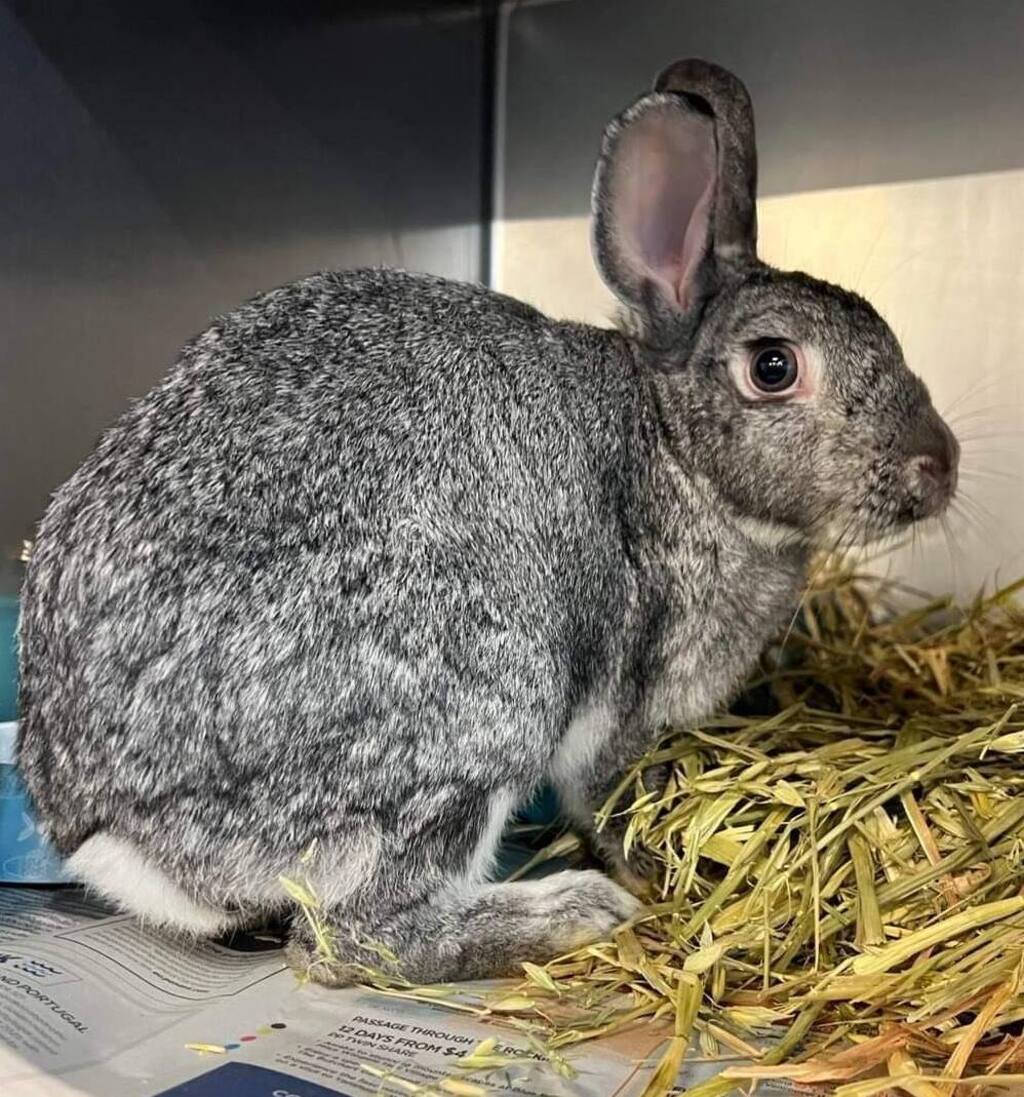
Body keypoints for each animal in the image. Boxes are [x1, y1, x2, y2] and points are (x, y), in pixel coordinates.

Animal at [16, 59, 959, 985]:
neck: (669, 444)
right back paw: (572, 913)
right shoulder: (624, 703)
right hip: (479, 703)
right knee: (354, 939)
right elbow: (608, 798)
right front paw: (654, 877)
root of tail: (107, 829)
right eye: (772, 366)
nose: (937, 464)